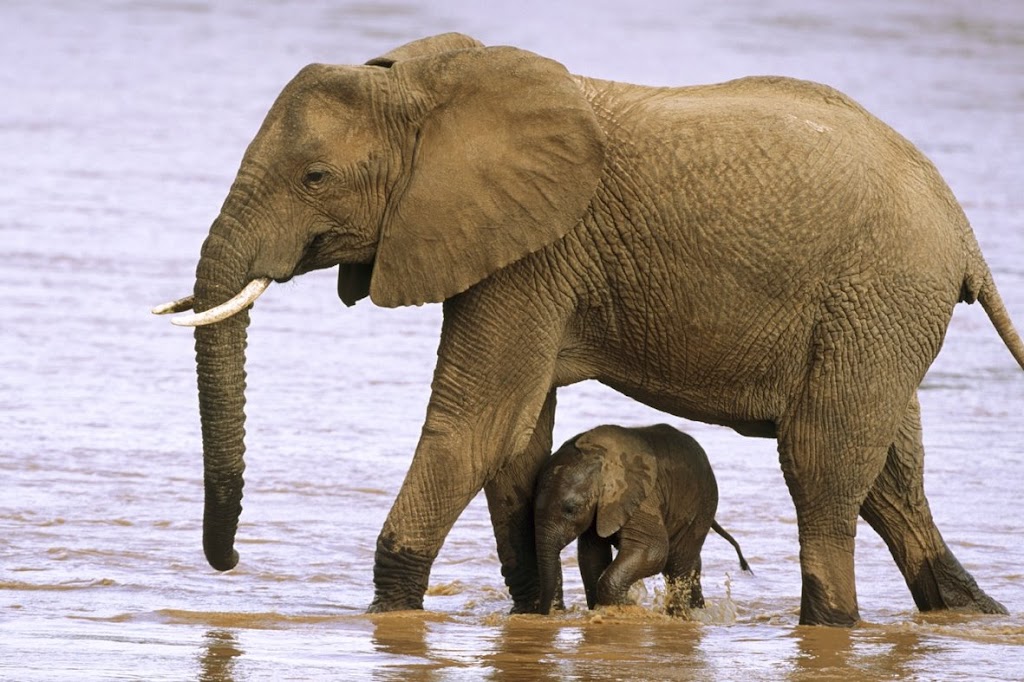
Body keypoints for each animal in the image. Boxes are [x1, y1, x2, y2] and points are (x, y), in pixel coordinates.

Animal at [534, 424, 750, 616]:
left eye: (570, 510)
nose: (545, 612)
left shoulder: (643, 497)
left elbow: (653, 549)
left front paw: (626, 606)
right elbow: (592, 555)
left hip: (703, 504)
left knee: (677, 562)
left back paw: (680, 616)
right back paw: (698, 612)